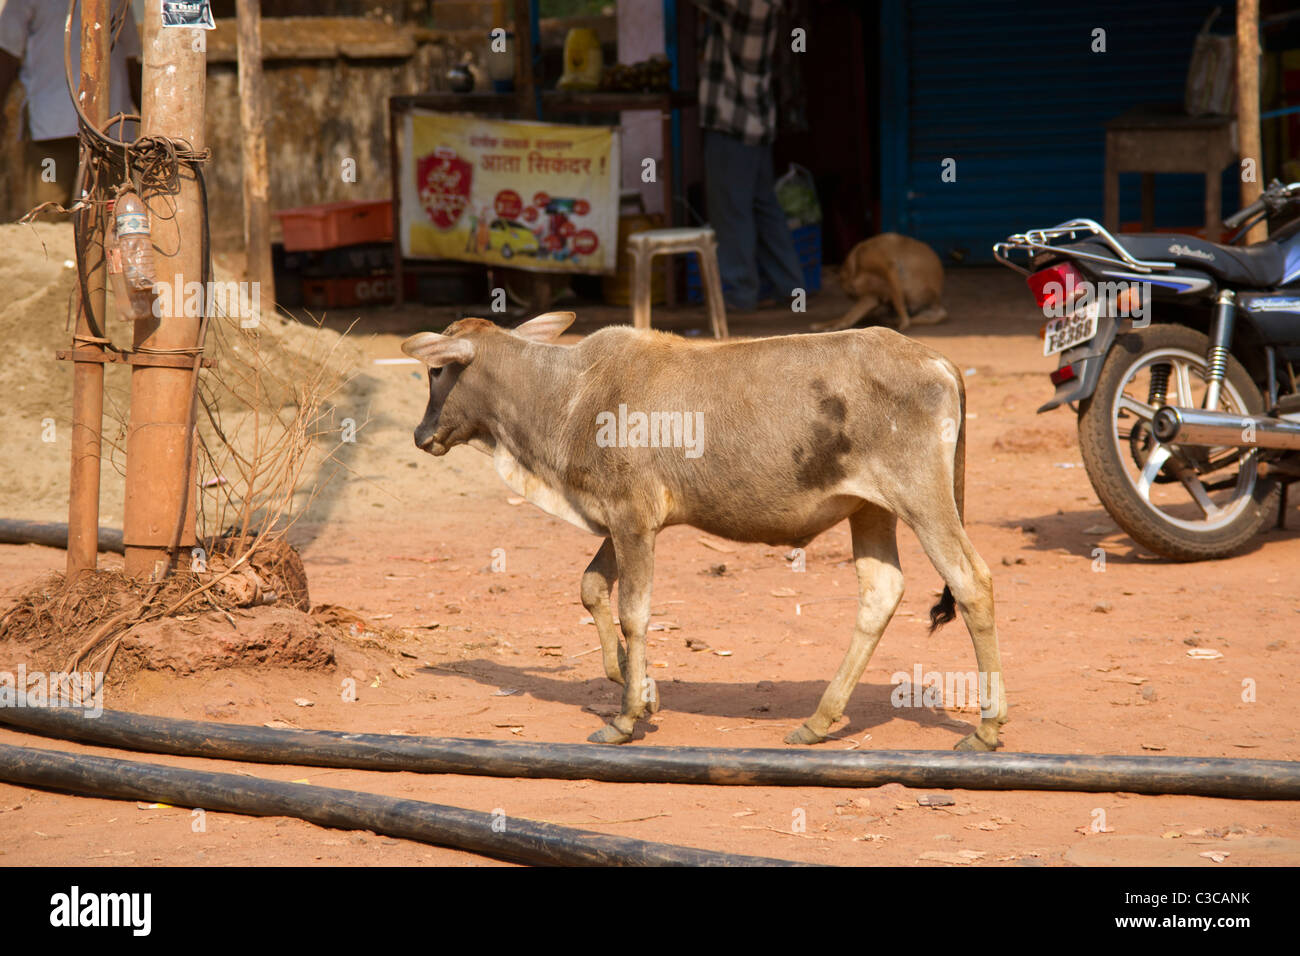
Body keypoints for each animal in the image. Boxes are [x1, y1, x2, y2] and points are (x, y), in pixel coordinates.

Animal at [402, 312, 1007, 750]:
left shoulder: (632, 520)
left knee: (972, 583)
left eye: (435, 372)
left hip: (923, 501)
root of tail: (936, 360)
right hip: (871, 508)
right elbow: (592, 587)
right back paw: (819, 720)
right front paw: (636, 684)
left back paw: (986, 728)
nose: (421, 434)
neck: (568, 393)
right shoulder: (624, 522)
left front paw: (626, 717)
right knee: (881, 592)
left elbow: (634, 612)